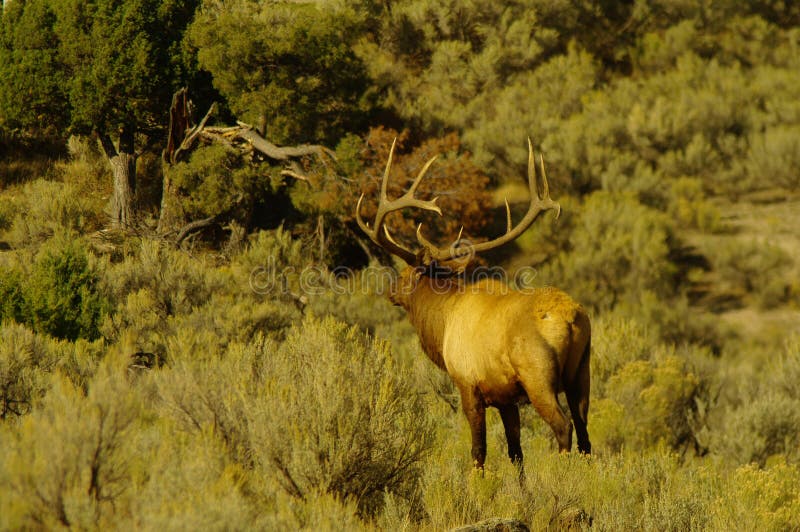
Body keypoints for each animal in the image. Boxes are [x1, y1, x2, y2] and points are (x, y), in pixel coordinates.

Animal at [355, 139, 591, 470]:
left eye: (404, 275)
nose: (390, 292)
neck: (442, 324)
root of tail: (570, 318)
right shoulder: (506, 397)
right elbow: (516, 453)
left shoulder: (467, 384)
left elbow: (478, 452)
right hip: (581, 372)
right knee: (585, 433)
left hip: (538, 376)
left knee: (564, 426)